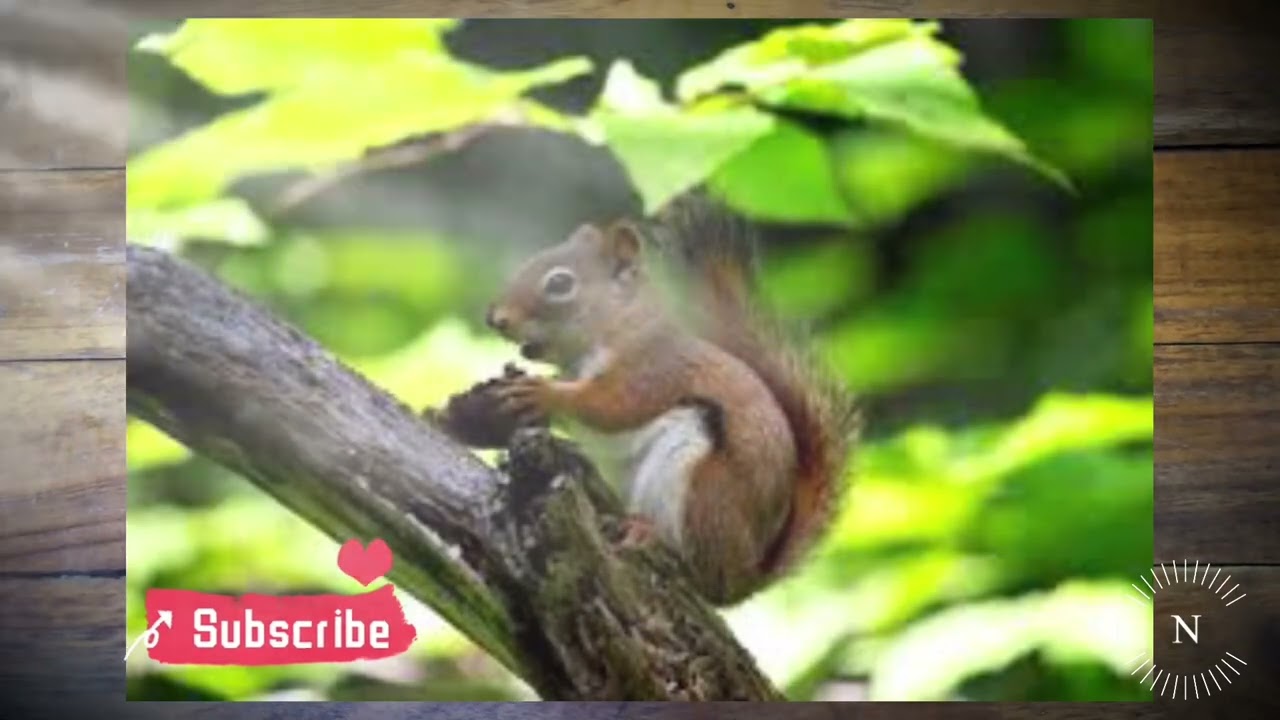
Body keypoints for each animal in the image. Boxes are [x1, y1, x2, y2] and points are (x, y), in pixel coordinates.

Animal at [484, 193, 860, 606]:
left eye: (560, 283)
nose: (495, 318)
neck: (621, 325)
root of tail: (743, 578)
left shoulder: (653, 368)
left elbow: (613, 405)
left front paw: (545, 393)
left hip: (698, 484)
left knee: (691, 560)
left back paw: (651, 535)